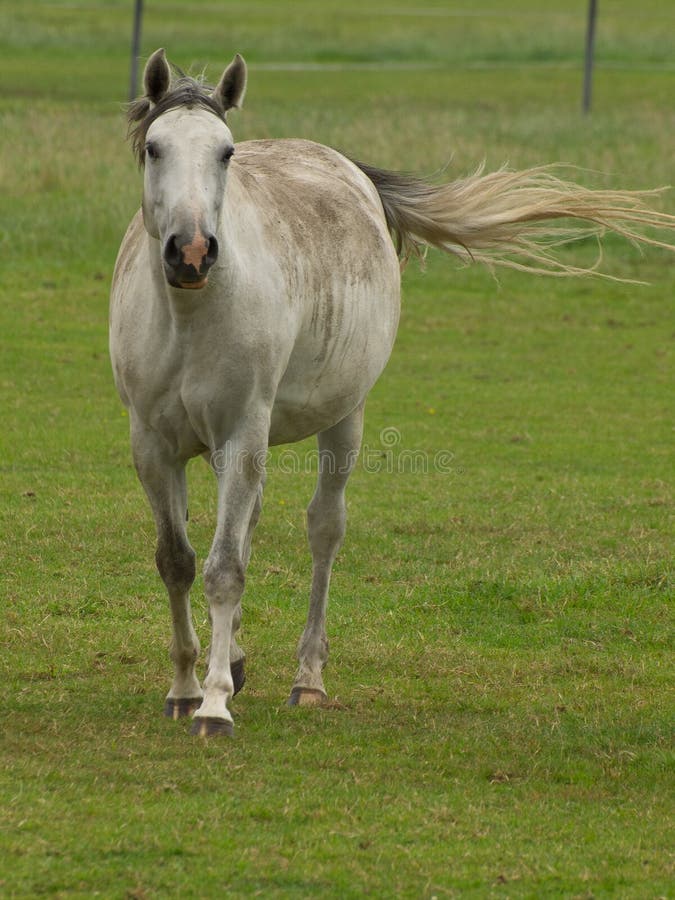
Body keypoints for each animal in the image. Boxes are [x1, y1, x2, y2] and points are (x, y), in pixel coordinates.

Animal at [110, 48, 674, 736]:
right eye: (154, 148)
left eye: (226, 152)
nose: (191, 252)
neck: (189, 316)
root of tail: (344, 165)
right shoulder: (153, 445)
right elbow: (179, 560)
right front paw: (186, 687)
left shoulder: (242, 431)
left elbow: (223, 570)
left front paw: (214, 704)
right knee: (247, 527)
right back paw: (239, 658)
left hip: (340, 418)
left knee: (323, 530)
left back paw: (307, 677)